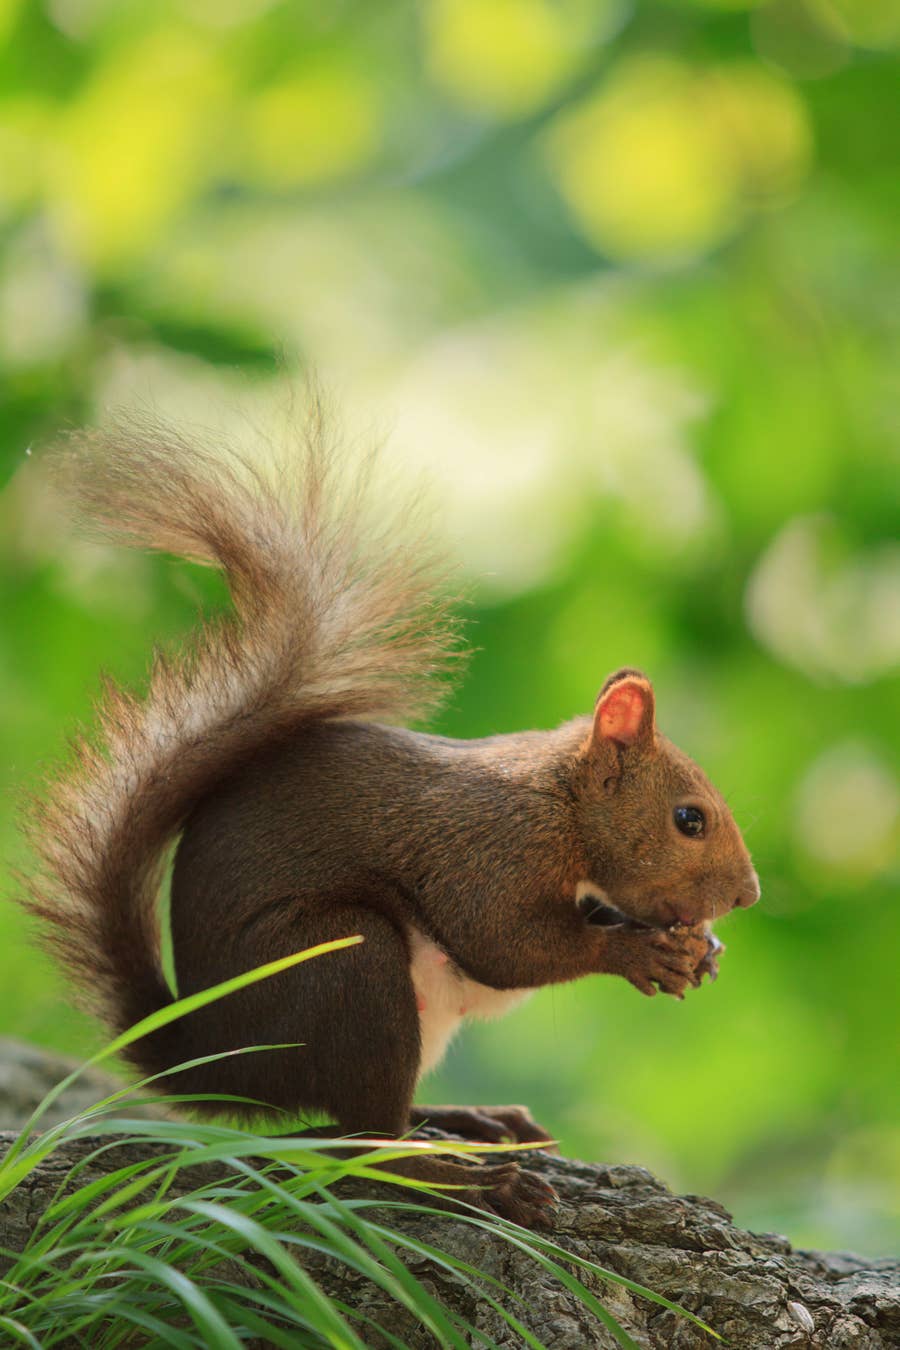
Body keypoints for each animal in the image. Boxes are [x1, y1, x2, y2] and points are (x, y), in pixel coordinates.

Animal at [20, 401, 760, 1229]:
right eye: (689, 820)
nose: (747, 895)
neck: (562, 807)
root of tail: (223, 1058)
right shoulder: (487, 850)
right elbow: (505, 945)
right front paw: (638, 952)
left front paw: (702, 948)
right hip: (347, 969)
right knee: (361, 1141)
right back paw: (472, 1178)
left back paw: (470, 1121)